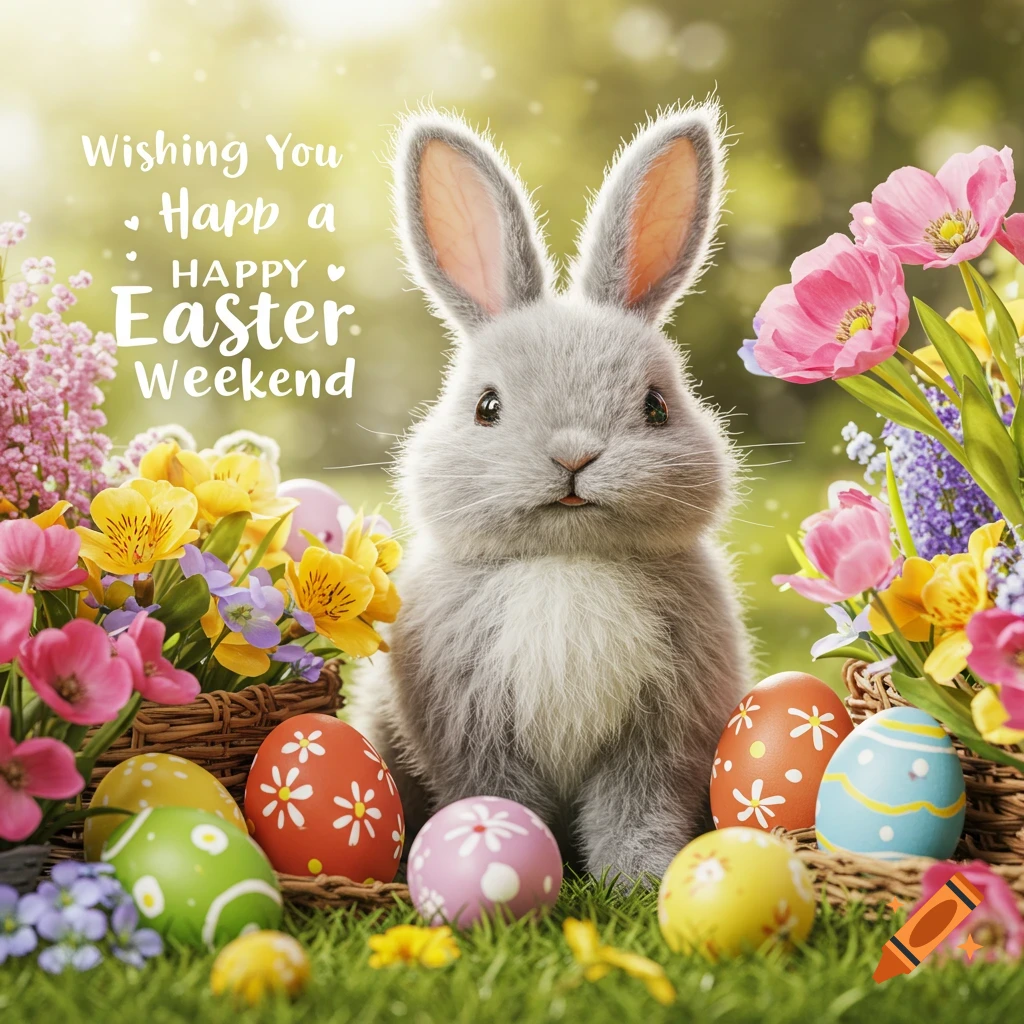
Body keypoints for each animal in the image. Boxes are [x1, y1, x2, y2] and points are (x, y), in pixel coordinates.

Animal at [348, 99, 752, 884]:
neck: (567, 560)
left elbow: (636, 808)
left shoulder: (659, 735)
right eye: (487, 408)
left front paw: (643, 877)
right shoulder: (472, 729)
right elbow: (499, 793)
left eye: (657, 406)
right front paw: (500, 850)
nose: (573, 454)